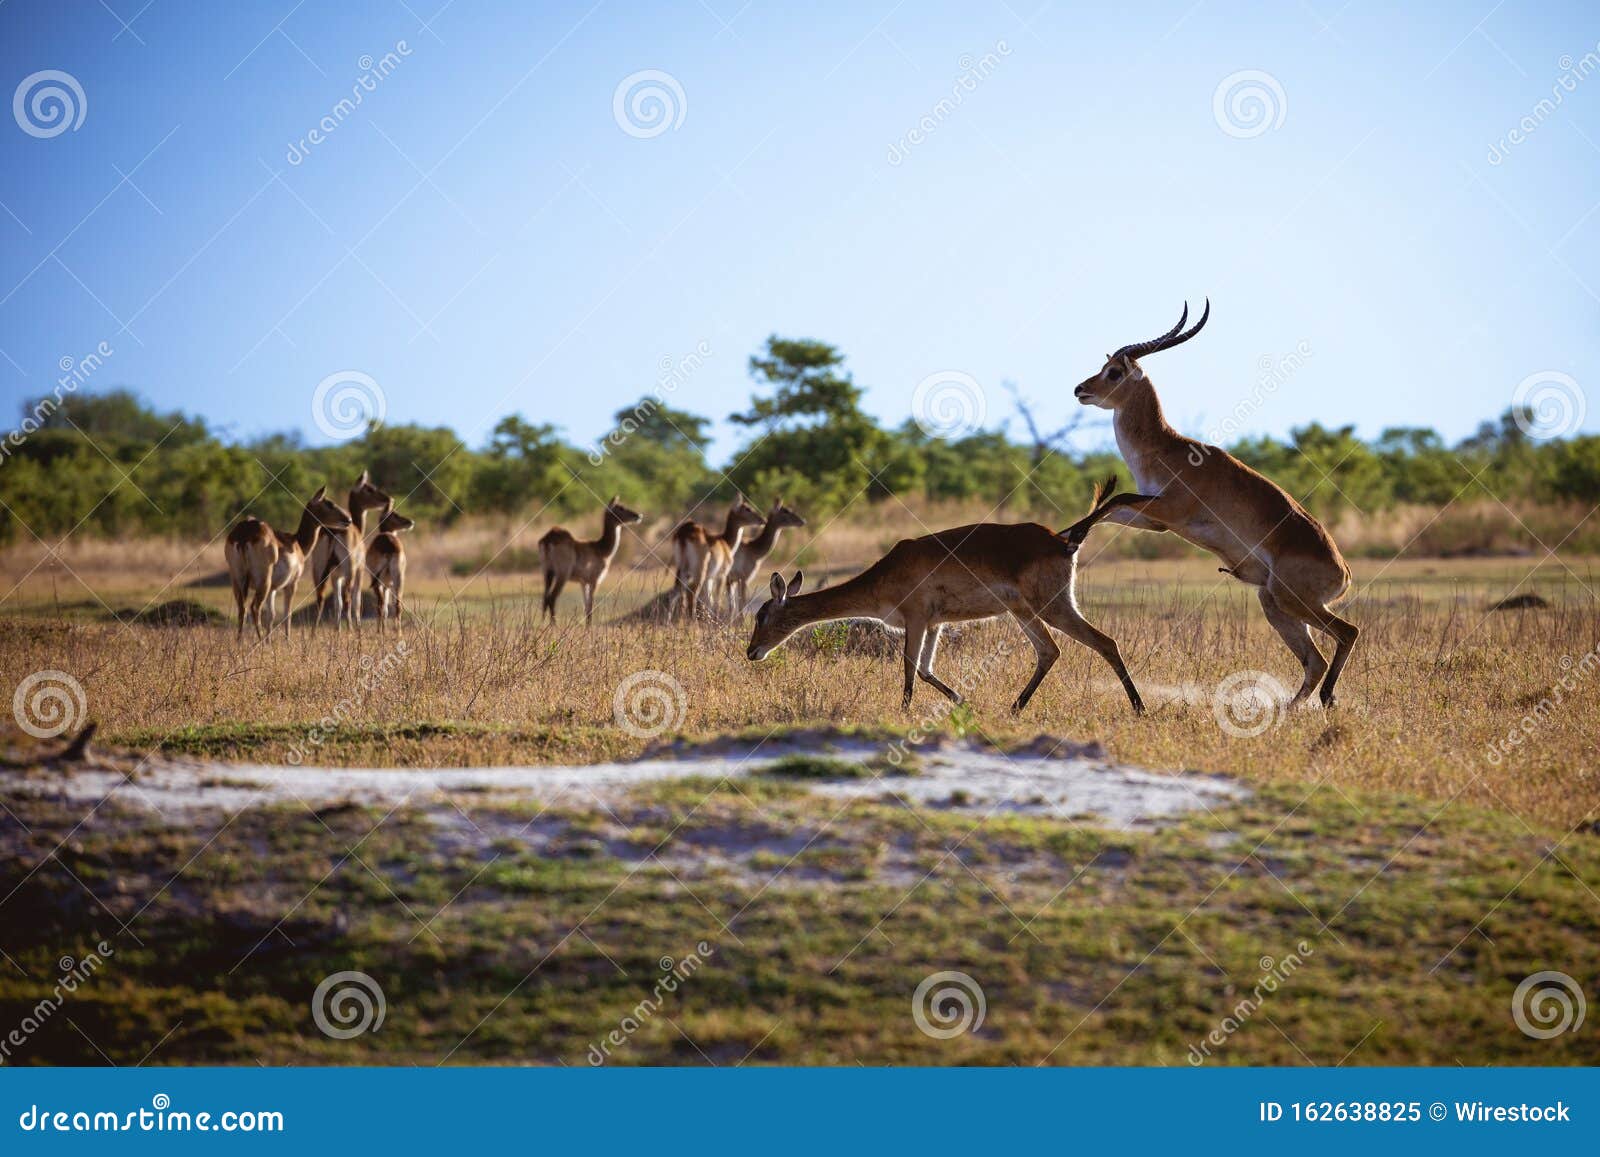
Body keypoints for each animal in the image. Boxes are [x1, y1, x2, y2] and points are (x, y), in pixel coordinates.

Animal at [224, 487, 353, 642]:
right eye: (329, 503)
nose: (348, 519)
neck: (297, 543)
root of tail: (243, 535)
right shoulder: (292, 584)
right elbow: (287, 613)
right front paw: (287, 641)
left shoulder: (273, 589)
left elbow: (272, 614)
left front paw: (270, 641)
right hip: (263, 581)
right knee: (254, 607)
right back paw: (260, 643)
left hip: (237, 580)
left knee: (242, 608)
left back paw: (240, 642)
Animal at [310, 469, 391, 631]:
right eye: (369, 488)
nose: (387, 499)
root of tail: (332, 533)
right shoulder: (359, 571)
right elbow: (356, 600)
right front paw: (357, 628)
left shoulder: (336, 576)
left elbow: (337, 603)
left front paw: (337, 630)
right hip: (350, 572)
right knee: (348, 598)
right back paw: (352, 629)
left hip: (319, 571)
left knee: (321, 598)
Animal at [537, 496, 643, 625]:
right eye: (620, 507)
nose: (638, 516)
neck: (601, 549)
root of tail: (548, 538)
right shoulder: (594, 580)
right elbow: (590, 606)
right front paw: (589, 627)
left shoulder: (583, 582)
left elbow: (586, 606)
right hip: (562, 574)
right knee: (552, 597)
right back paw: (554, 626)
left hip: (547, 572)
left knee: (545, 597)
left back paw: (543, 624)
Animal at [746, 478, 1145, 714]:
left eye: (761, 615)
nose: (751, 652)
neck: (885, 575)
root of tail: (1063, 540)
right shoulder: (935, 623)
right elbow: (925, 670)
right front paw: (961, 700)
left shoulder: (916, 618)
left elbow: (908, 666)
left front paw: (903, 712)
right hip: (1025, 611)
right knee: (1050, 651)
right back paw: (1014, 708)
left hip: (1051, 606)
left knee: (1104, 642)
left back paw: (1139, 708)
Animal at [1071, 300, 1359, 707]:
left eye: (1113, 372)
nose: (1080, 389)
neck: (1168, 449)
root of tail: (1343, 571)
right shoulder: (1156, 520)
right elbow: (1108, 509)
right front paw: (1071, 536)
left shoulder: (1167, 510)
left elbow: (1117, 497)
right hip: (1275, 603)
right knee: (1314, 660)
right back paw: (1289, 709)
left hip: (1295, 601)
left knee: (1348, 632)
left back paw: (1328, 698)